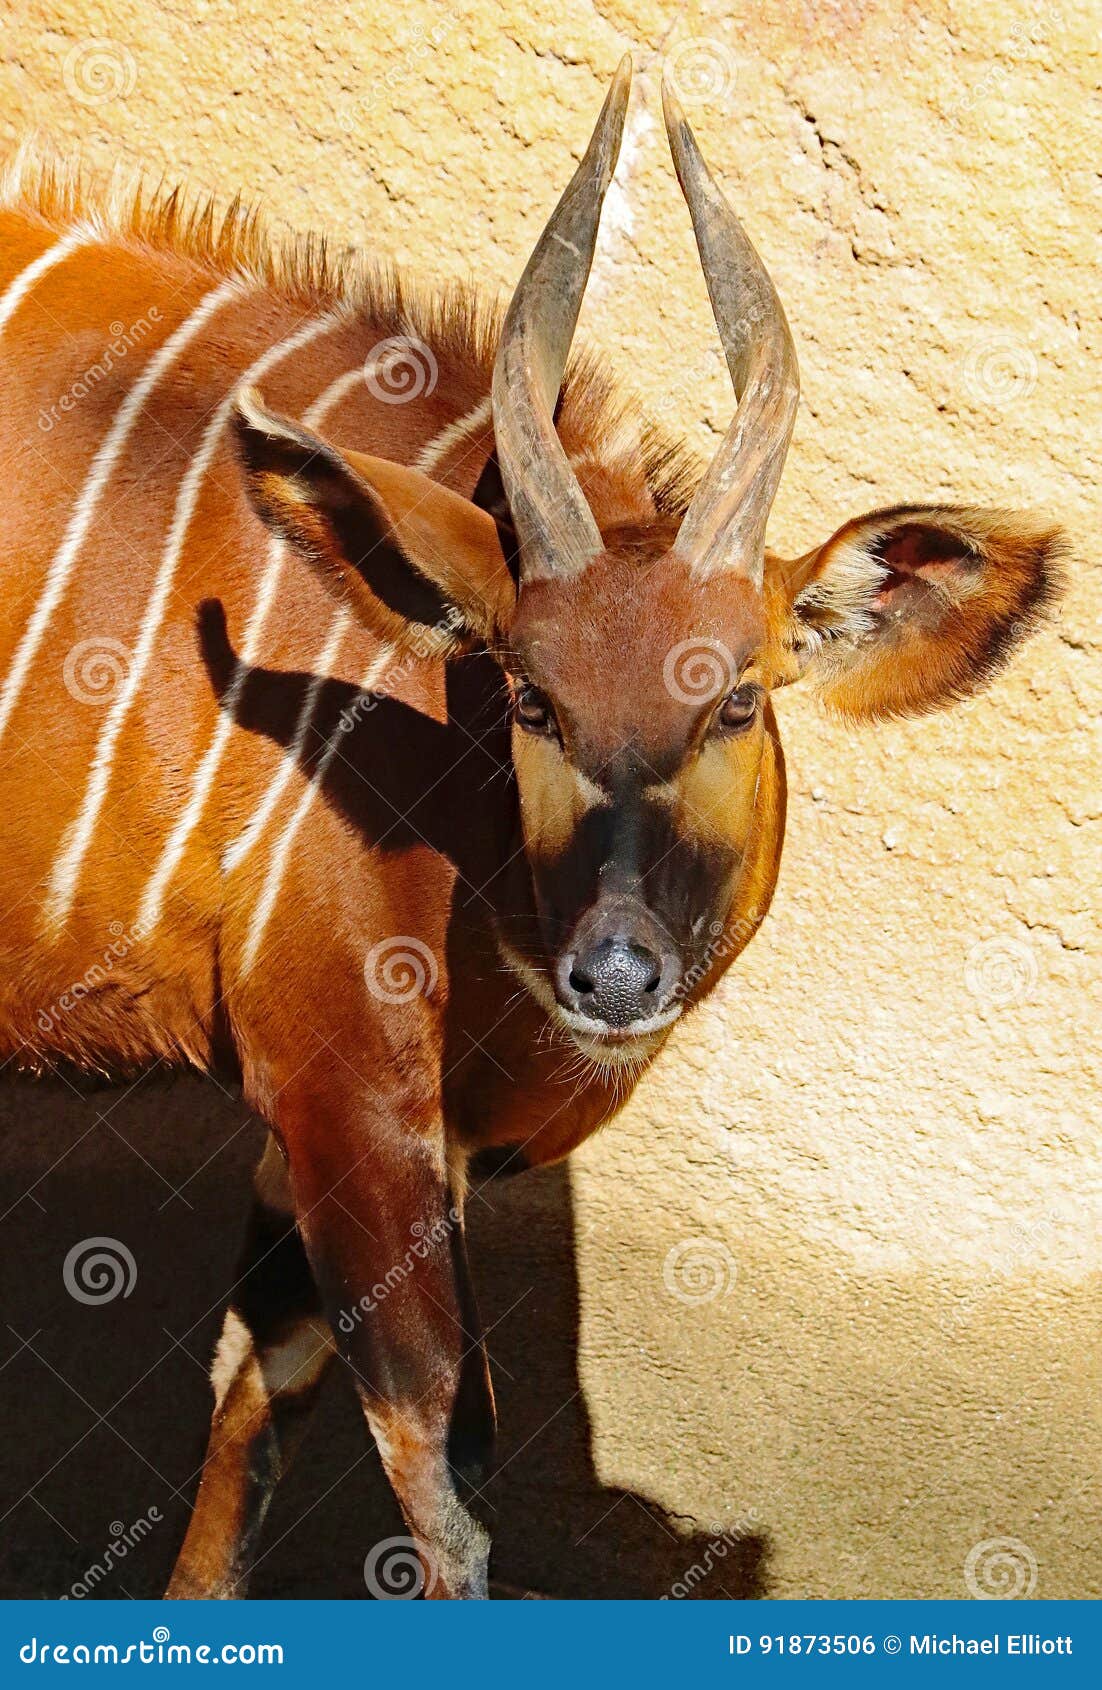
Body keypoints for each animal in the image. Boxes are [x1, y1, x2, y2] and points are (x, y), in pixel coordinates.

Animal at [0, 59, 1060, 1600]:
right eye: (530, 696)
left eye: (736, 694)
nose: (614, 974)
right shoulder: (346, 1093)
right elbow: (440, 1464)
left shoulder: (360, 1139)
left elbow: (257, 1384)